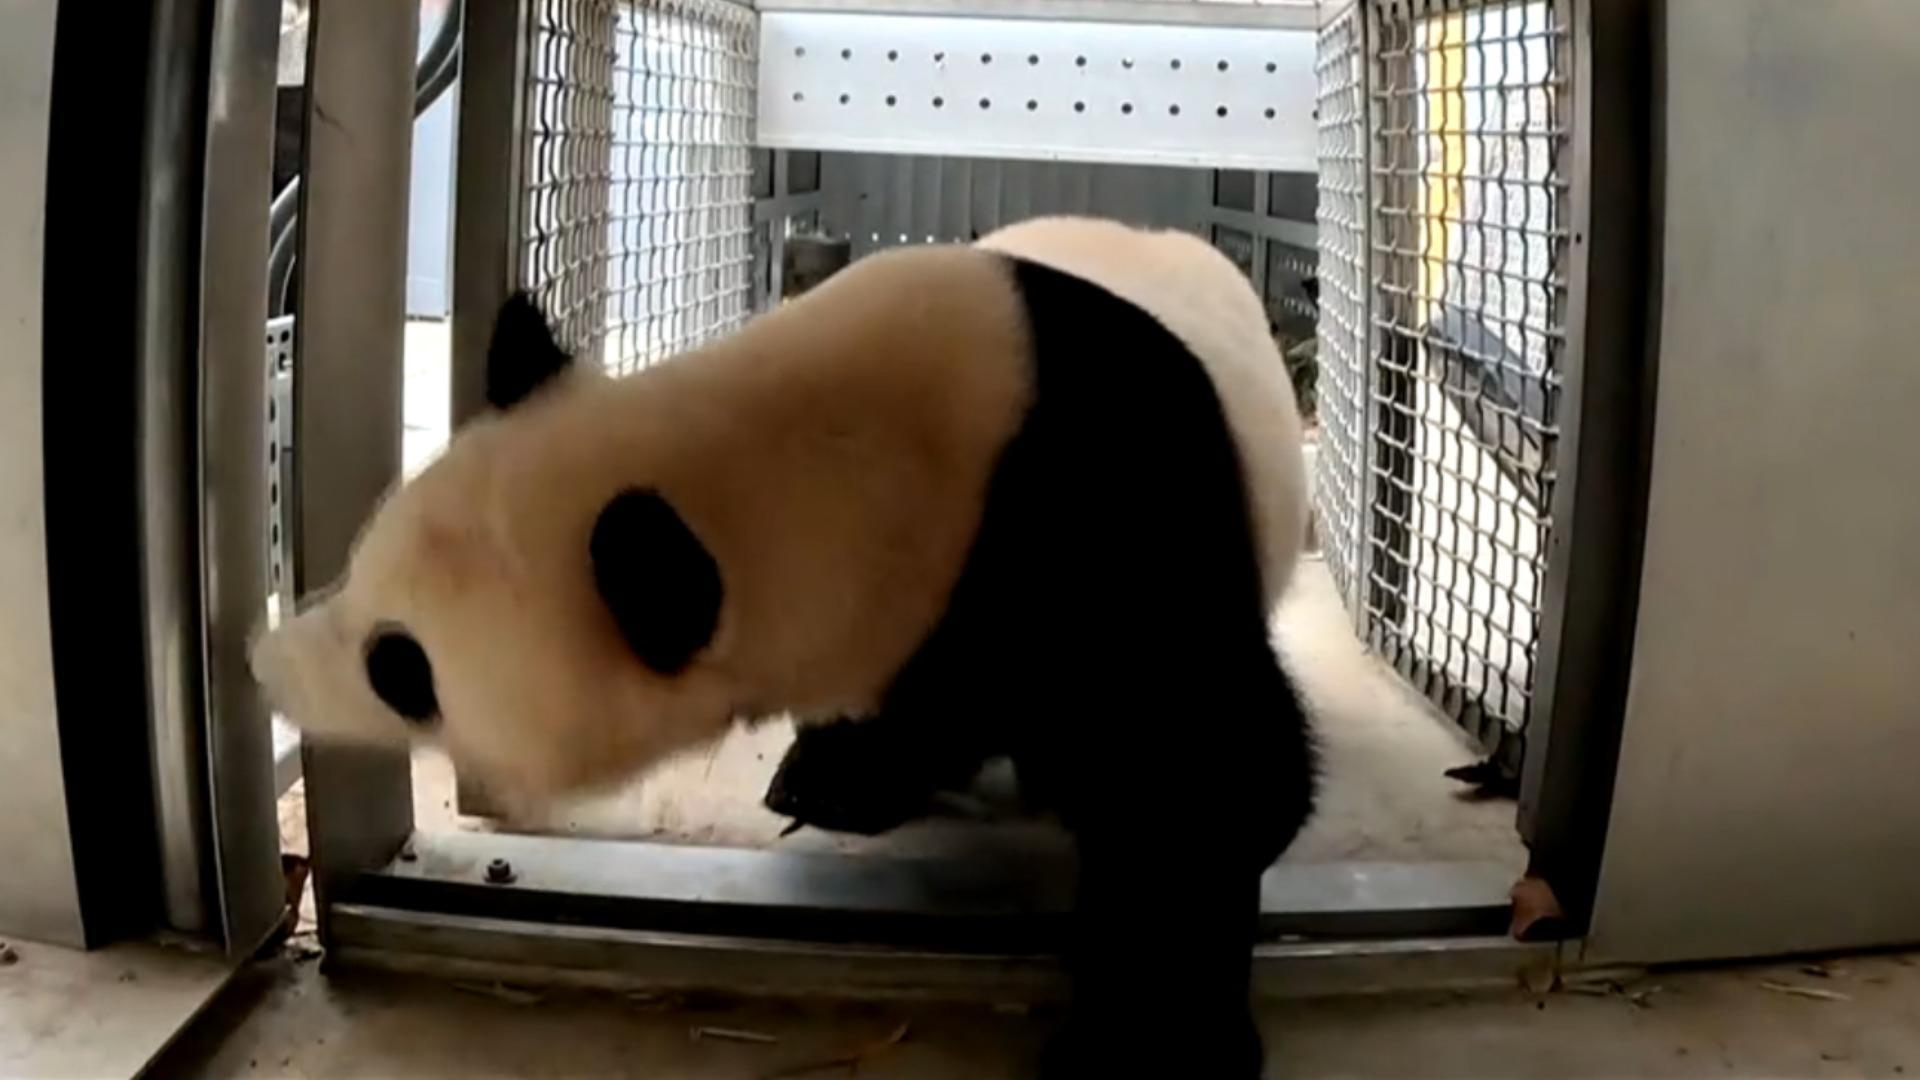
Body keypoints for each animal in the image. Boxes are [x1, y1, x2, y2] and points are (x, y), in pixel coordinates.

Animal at [251, 215, 1316, 1079]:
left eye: (401, 669)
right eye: (360, 566)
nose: (269, 666)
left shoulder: (1105, 521)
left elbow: (1209, 779)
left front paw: (1147, 1045)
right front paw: (838, 773)